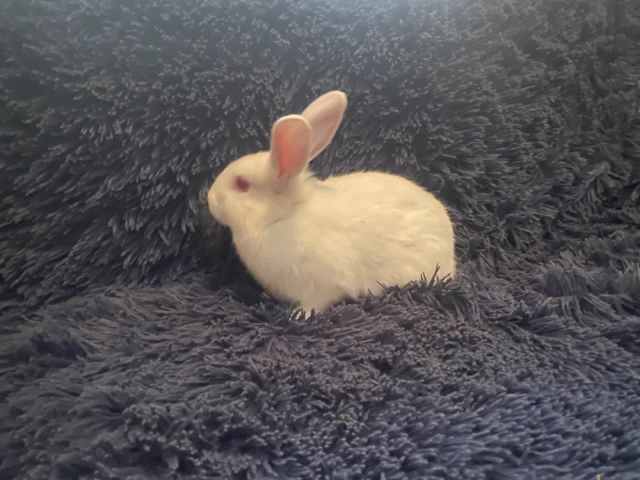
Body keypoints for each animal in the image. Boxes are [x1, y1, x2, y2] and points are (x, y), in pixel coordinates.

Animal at [207, 90, 455, 316]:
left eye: (242, 184)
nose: (210, 198)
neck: (280, 217)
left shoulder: (322, 285)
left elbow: (316, 302)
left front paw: (299, 315)